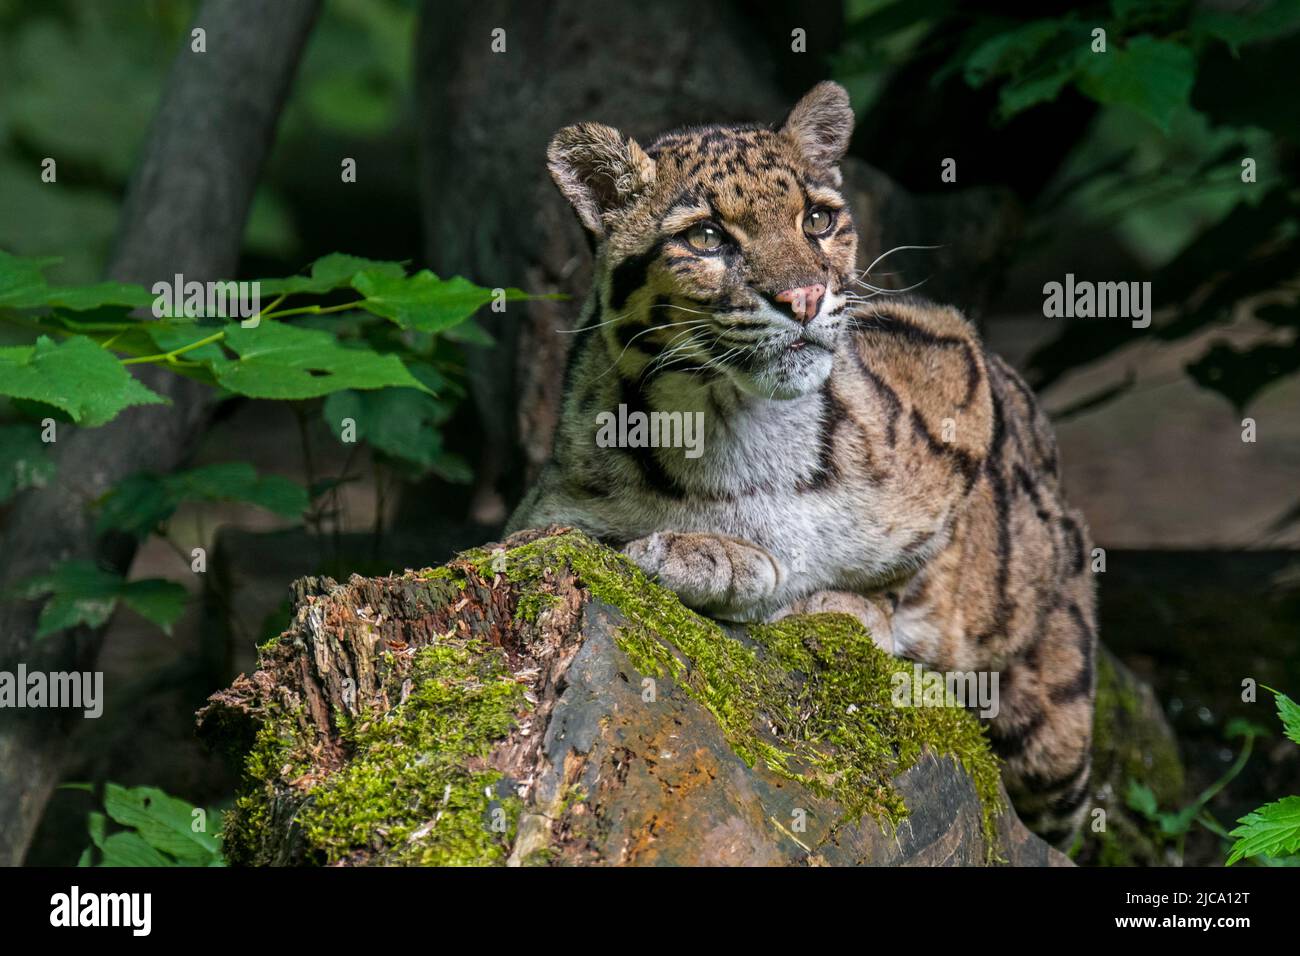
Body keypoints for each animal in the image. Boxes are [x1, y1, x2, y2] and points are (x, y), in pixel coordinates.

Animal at [507, 81, 1098, 846]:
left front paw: (845, 600)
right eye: (705, 237)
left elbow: (917, 567)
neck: (740, 417)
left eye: (818, 219)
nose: (805, 298)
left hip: (1056, 726)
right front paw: (716, 555)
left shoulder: (960, 372)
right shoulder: (546, 513)